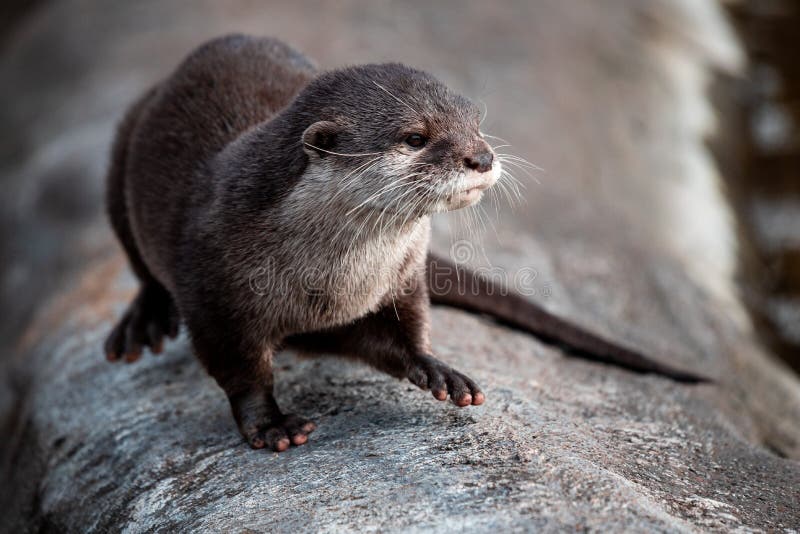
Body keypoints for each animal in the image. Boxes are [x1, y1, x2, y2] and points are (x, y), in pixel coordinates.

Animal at [105, 34, 704, 452]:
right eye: (416, 137)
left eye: (475, 121)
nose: (481, 156)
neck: (326, 283)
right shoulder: (213, 292)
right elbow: (240, 370)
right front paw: (271, 424)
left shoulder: (397, 279)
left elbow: (402, 331)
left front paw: (439, 369)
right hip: (122, 146)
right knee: (140, 262)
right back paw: (144, 321)